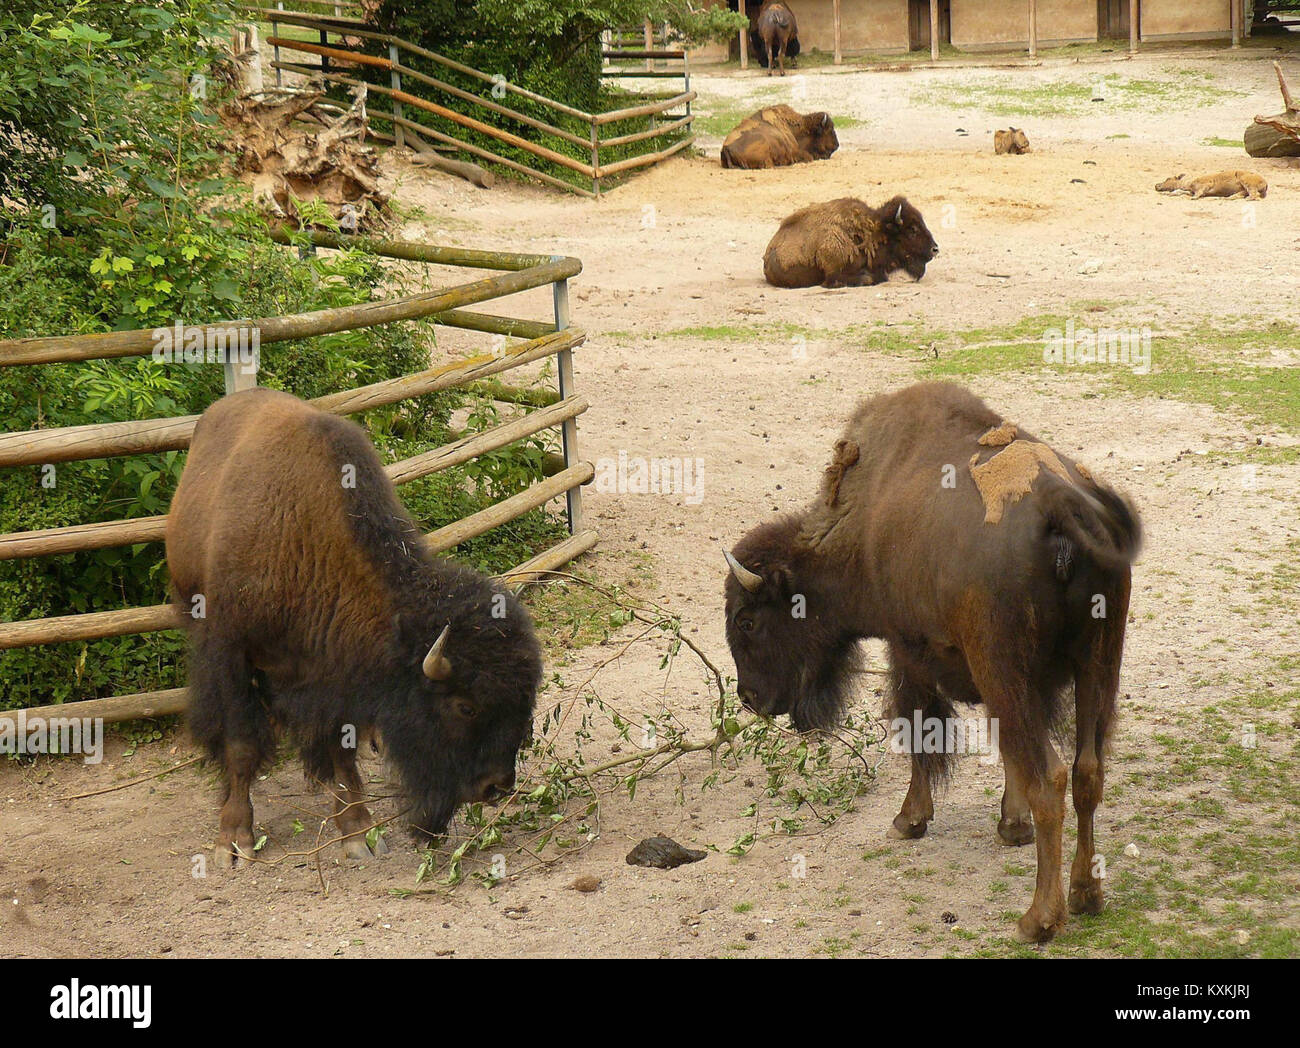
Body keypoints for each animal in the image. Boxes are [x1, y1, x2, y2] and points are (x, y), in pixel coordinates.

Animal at [167, 388, 542, 867]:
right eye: (465, 707)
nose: (495, 786)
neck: (306, 541)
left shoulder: (335, 671)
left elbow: (341, 747)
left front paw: (357, 831)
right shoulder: (231, 651)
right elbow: (241, 745)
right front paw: (234, 842)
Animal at [723, 382, 1141, 942]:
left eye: (747, 621)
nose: (749, 697)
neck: (862, 523)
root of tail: (1064, 507)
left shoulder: (910, 652)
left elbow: (921, 730)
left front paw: (910, 820)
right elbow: (1005, 747)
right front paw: (1012, 827)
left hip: (1010, 668)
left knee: (1050, 779)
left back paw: (1038, 919)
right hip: (1099, 663)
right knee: (1087, 772)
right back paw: (1086, 895)